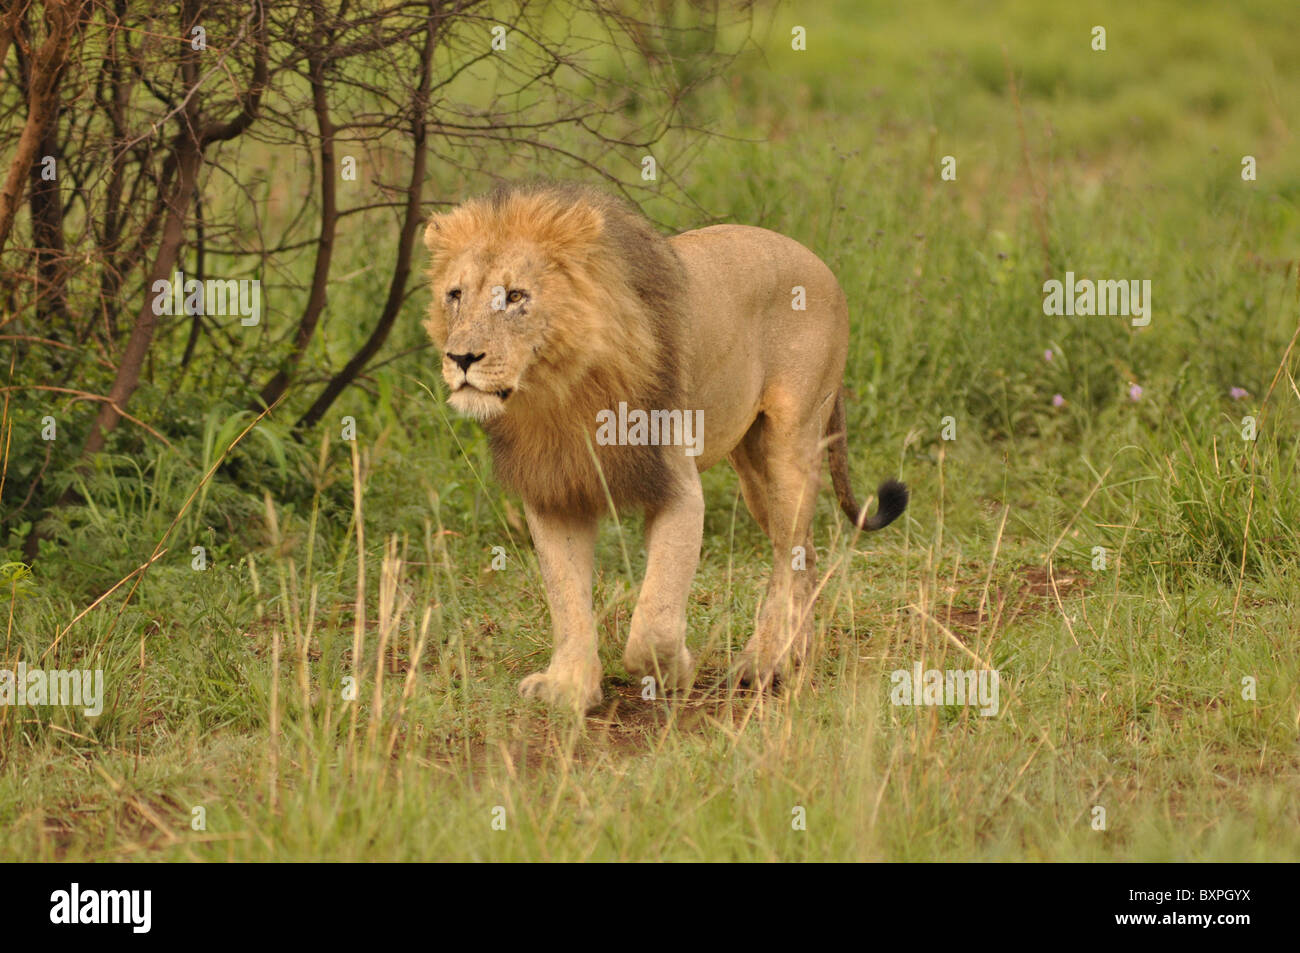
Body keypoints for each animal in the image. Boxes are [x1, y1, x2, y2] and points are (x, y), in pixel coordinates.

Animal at [423, 181, 907, 711]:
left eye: (514, 296)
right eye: (454, 295)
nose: (461, 357)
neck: (561, 392)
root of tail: (819, 262)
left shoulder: (676, 487)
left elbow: (653, 619)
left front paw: (674, 670)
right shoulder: (555, 493)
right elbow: (567, 599)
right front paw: (569, 686)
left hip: (791, 440)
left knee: (789, 555)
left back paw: (763, 664)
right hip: (753, 464)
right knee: (805, 552)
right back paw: (795, 654)